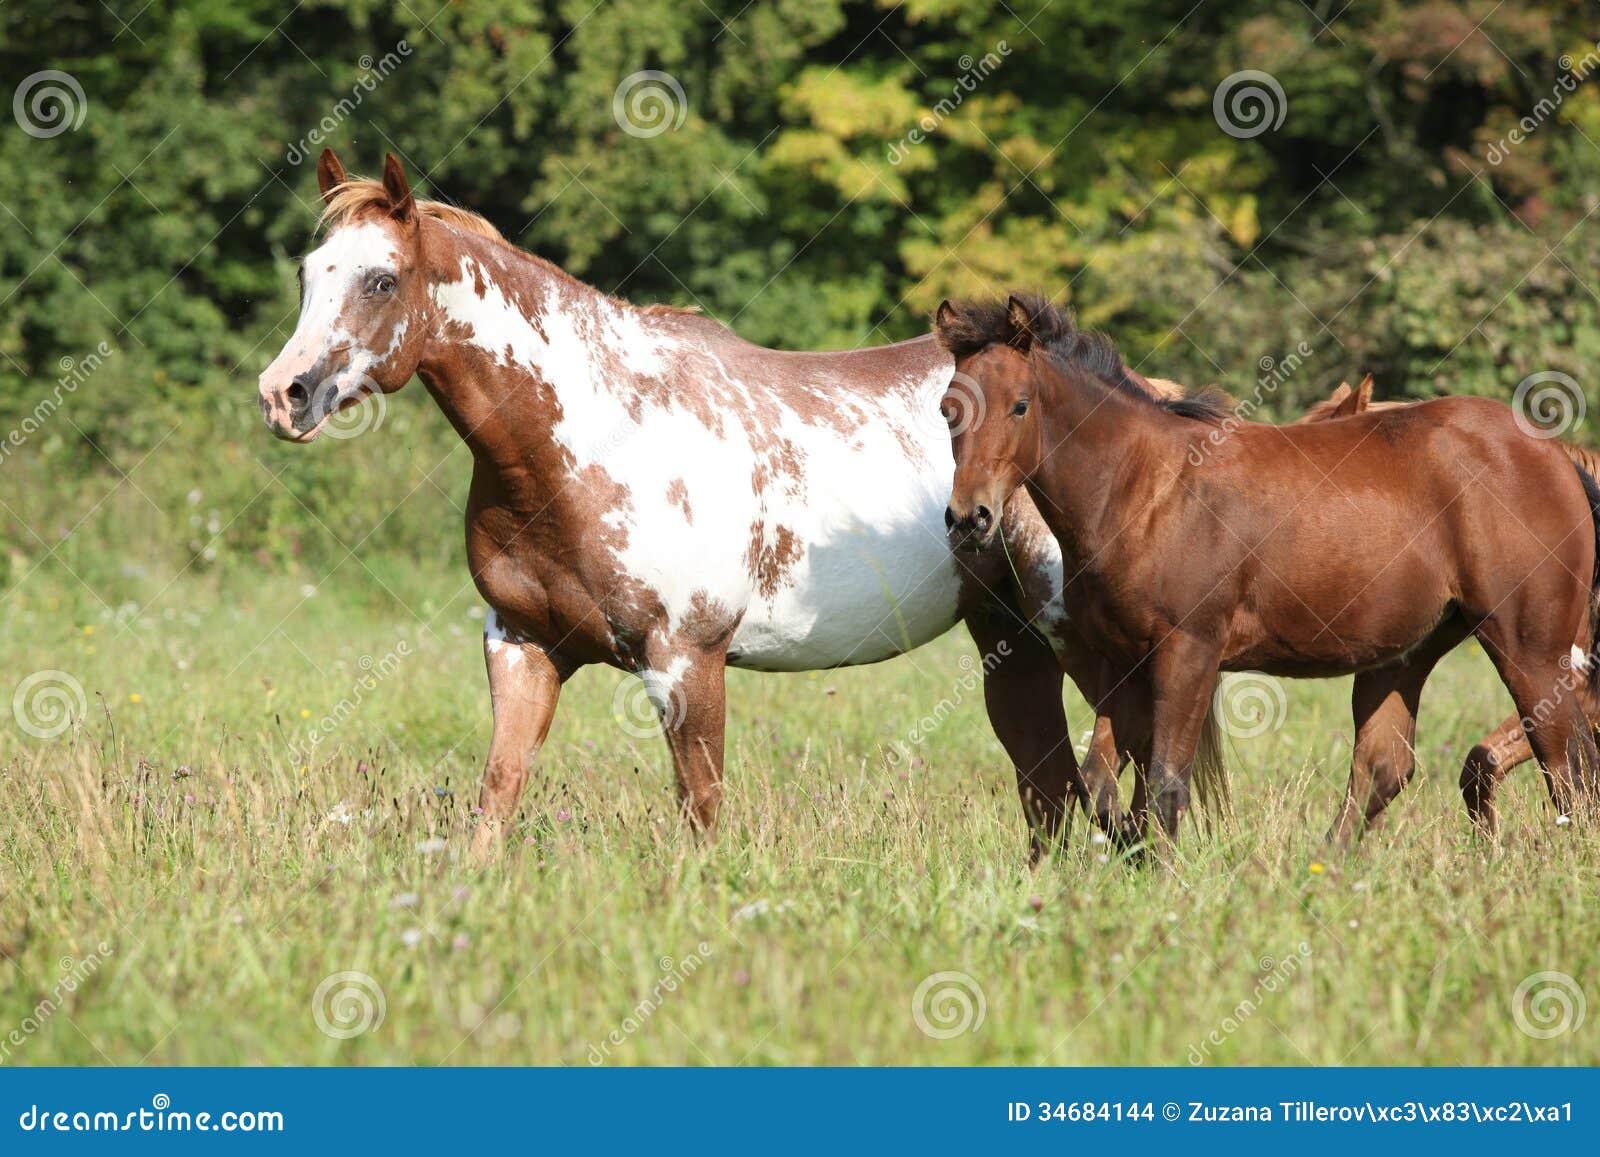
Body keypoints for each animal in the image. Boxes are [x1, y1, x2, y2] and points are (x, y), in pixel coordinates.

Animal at [257, 151, 1237, 859]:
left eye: (382, 280)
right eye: (309, 273)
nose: (285, 394)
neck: (591, 436)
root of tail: (1146, 400)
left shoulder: (687, 661)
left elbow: (701, 813)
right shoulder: (522, 646)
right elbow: (495, 799)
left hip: (1077, 636)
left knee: (1116, 769)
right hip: (1011, 643)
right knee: (1054, 791)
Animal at [938, 293, 1600, 845]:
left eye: (1020, 406)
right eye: (947, 410)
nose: (970, 518)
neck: (1145, 491)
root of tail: (1557, 456)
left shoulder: (1190, 650)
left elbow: (1166, 784)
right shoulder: (1123, 661)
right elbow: (1102, 785)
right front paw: (1126, 853)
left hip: (1530, 649)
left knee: (1567, 767)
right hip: (1410, 650)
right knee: (1384, 767)